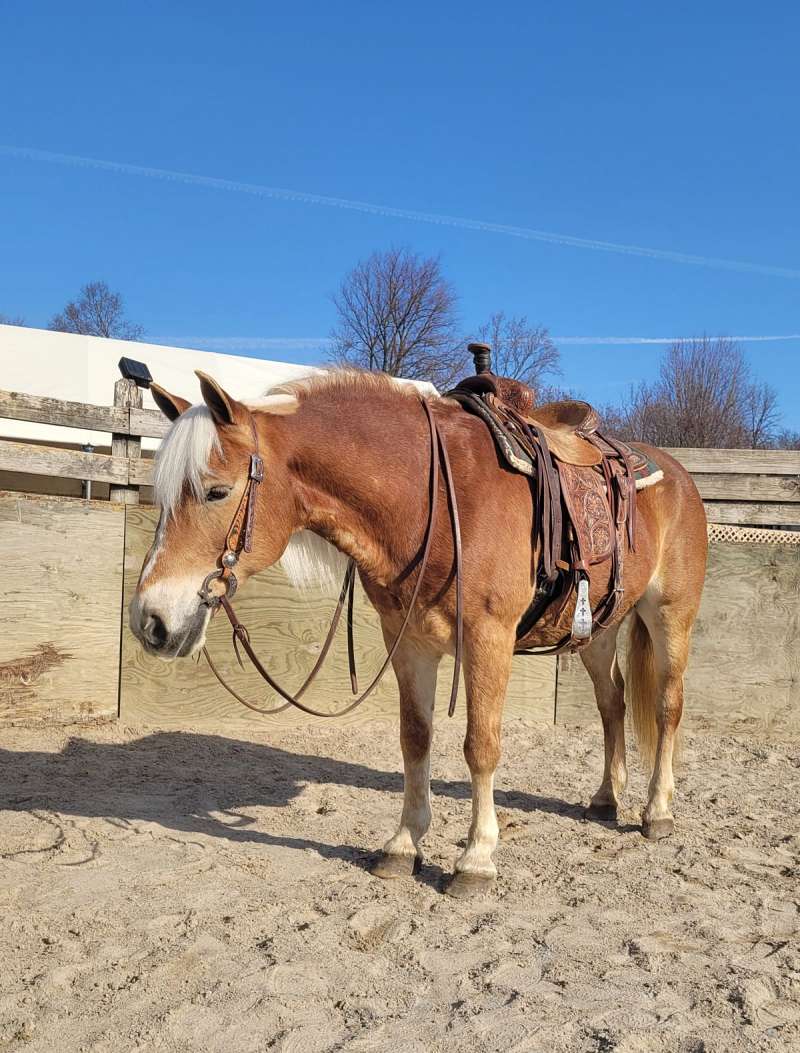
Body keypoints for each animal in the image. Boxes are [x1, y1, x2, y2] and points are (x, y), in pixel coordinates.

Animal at [129, 368, 708, 896]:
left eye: (216, 491)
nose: (150, 621)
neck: (432, 498)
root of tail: (680, 475)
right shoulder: (407, 642)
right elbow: (415, 739)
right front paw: (404, 845)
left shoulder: (488, 639)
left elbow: (481, 745)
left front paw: (476, 858)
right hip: (598, 629)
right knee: (612, 702)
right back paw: (607, 798)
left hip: (670, 616)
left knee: (666, 705)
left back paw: (657, 810)